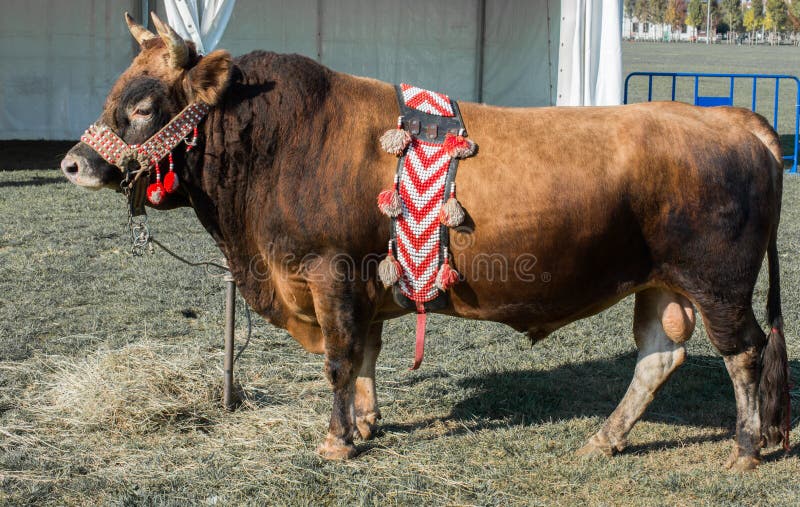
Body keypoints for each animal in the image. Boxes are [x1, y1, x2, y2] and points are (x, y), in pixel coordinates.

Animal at [61, 14, 790, 470]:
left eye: (143, 107)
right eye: (115, 93)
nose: (72, 163)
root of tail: (733, 118)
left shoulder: (329, 271)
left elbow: (338, 359)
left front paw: (337, 441)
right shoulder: (365, 284)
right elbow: (365, 357)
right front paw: (366, 423)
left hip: (718, 282)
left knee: (745, 353)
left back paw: (746, 448)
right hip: (660, 282)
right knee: (659, 356)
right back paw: (604, 439)